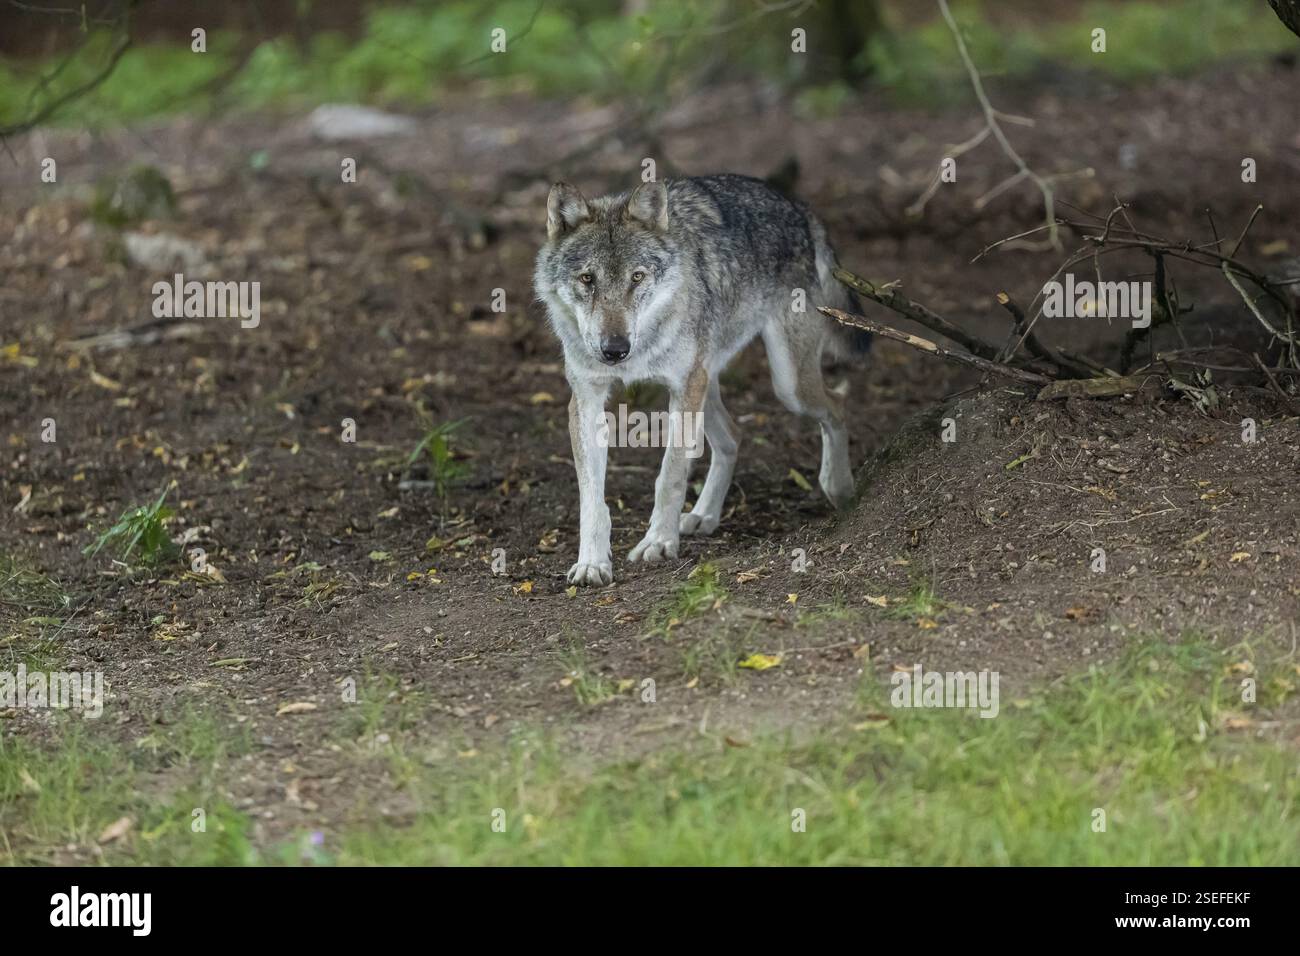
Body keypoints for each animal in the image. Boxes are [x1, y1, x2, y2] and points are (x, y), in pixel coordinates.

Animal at [534, 174, 870, 587]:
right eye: (587, 279)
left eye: (637, 277)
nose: (615, 350)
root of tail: (798, 206)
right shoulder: (585, 399)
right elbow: (592, 498)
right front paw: (592, 563)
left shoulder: (684, 386)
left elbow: (671, 474)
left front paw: (659, 543)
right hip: (708, 387)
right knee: (734, 438)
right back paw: (705, 515)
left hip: (785, 385)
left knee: (837, 405)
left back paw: (840, 489)